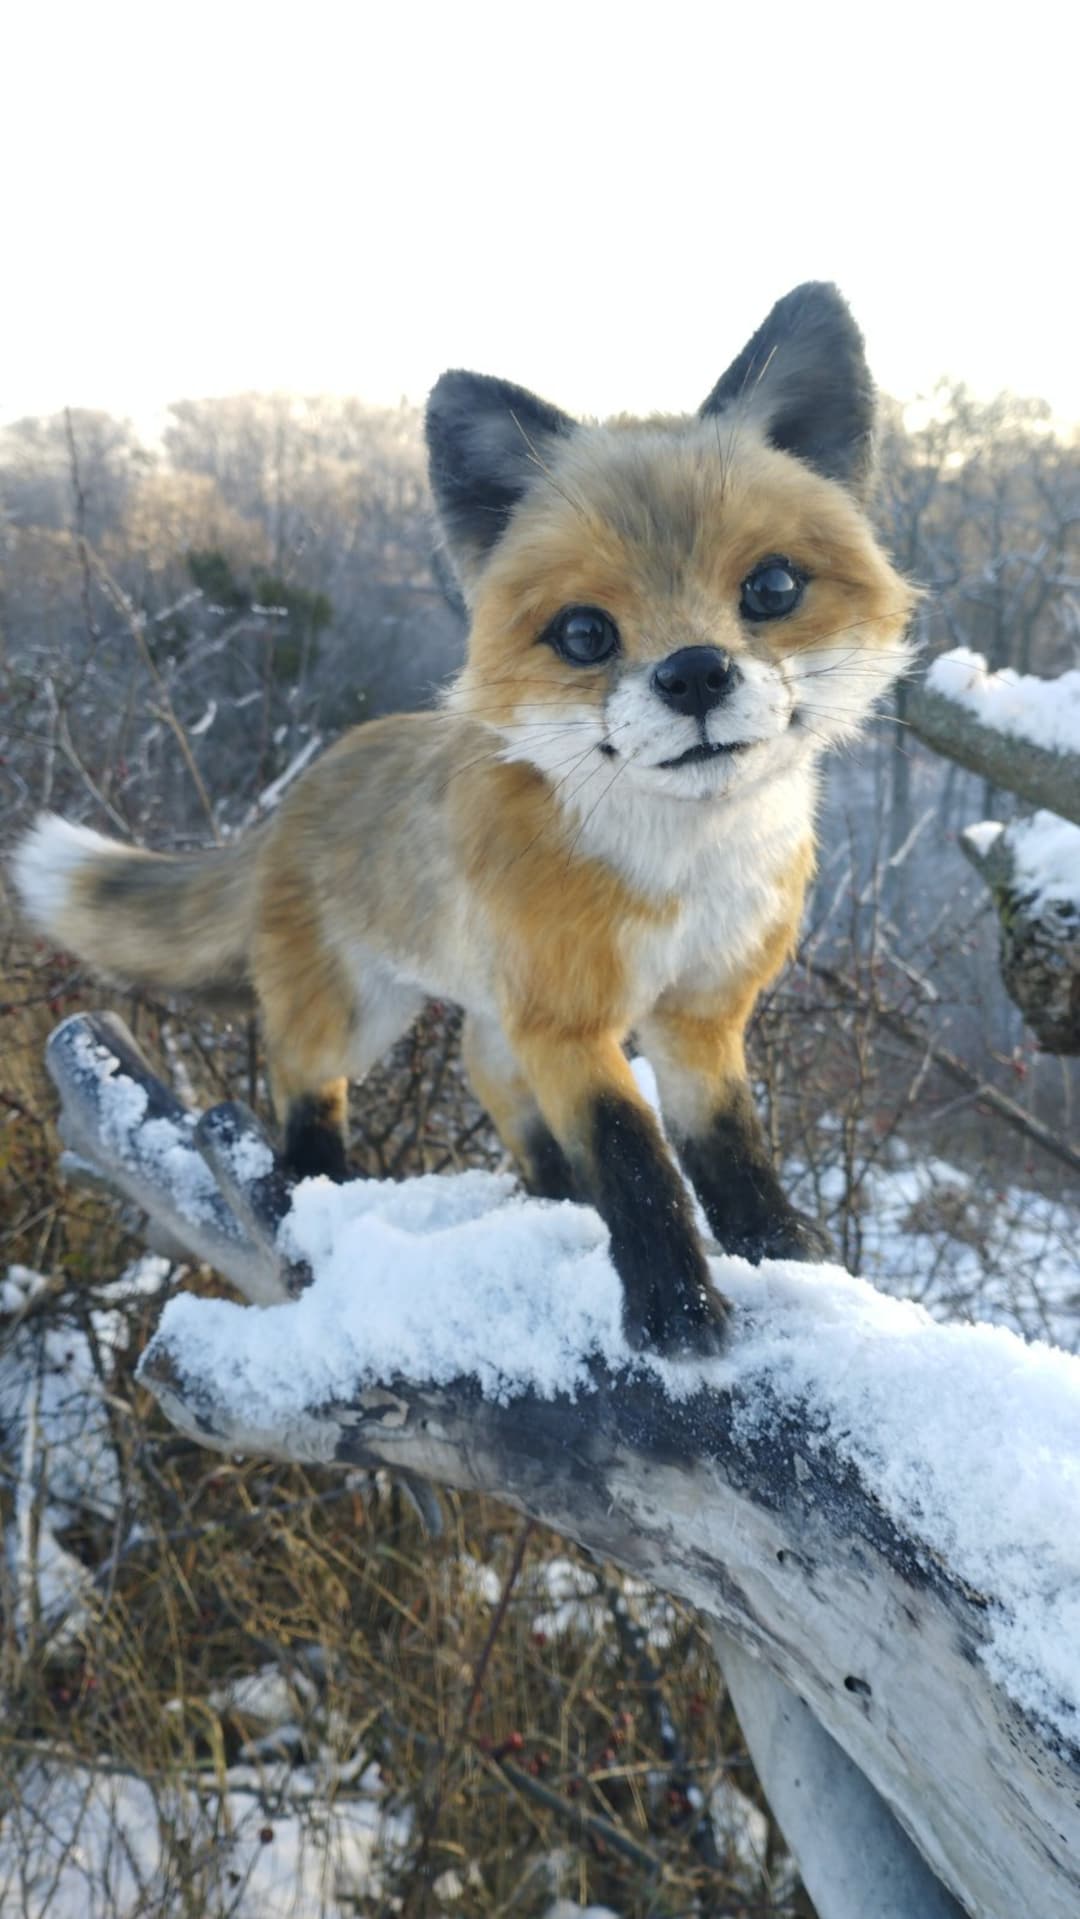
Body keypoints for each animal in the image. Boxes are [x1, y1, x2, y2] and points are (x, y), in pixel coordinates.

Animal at [12, 283, 915, 1357]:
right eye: (584, 633)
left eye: (771, 587)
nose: (695, 673)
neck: (683, 873)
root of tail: (298, 794)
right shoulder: (568, 1020)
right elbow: (636, 1160)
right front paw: (674, 1309)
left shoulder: (699, 1012)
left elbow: (726, 1149)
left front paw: (789, 1261)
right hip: (358, 1020)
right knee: (301, 1091)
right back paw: (321, 1194)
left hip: (487, 1011)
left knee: (490, 1081)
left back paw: (552, 1200)